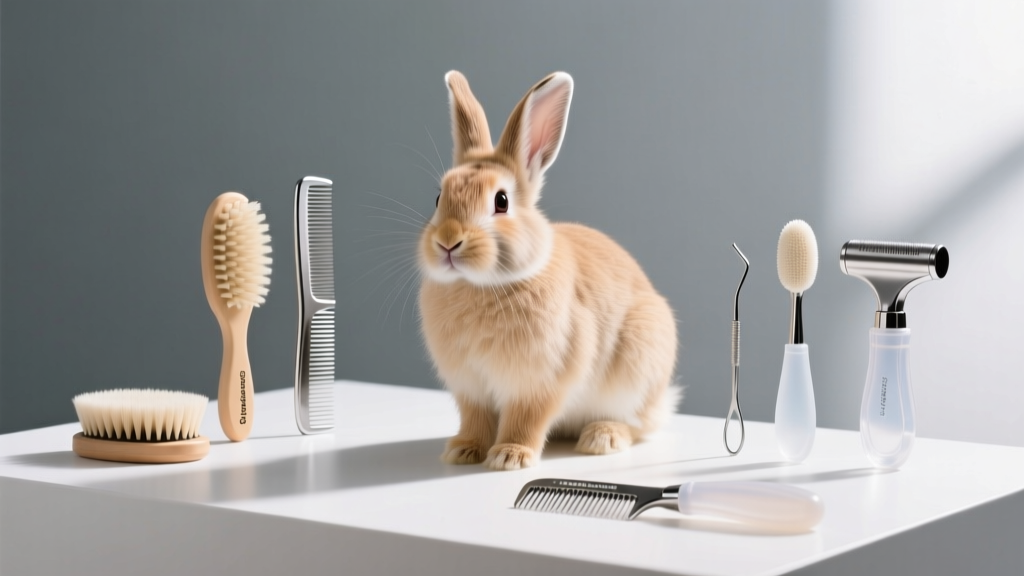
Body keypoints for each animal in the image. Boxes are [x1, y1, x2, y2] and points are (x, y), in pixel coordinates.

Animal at [418, 70, 680, 471]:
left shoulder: (542, 382)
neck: (481, 285)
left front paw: (510, 456)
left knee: (639, 424)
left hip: (640, 364)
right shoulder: (470, 388)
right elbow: (475, 420)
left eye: (501, 201)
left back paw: (602, 437)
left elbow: (526, 418)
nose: (448, 241)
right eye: (438, 198)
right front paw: (462, 451)